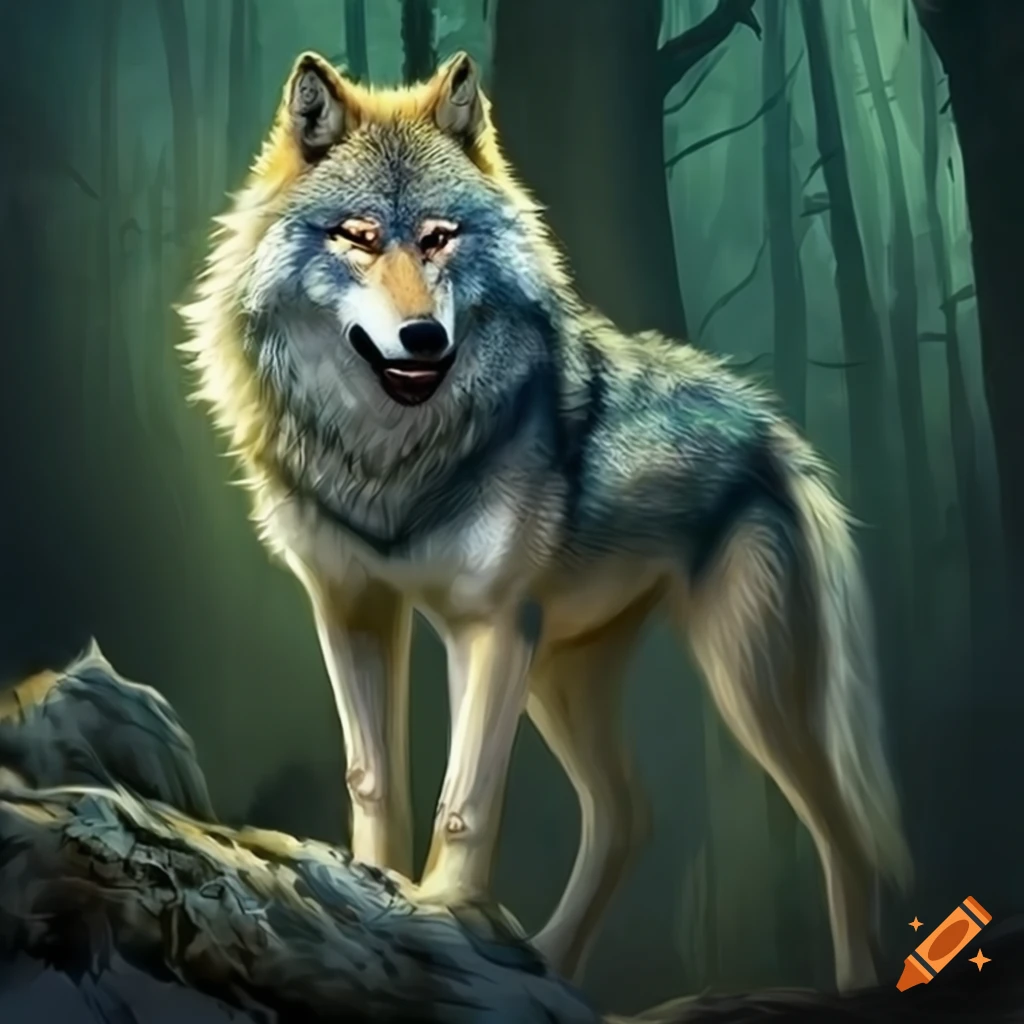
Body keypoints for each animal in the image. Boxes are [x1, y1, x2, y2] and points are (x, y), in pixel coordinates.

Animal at [179, 50, 911, 990]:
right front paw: (376, 892)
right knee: (630, 815)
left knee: (844, 832)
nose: (423, 338)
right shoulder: (352, 608)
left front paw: (442, 911)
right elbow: (373, 779)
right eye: (360, 237)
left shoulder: (488, 624)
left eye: (440, 237)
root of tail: (772, 430)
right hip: (566, 679)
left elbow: (465, 800)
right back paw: (551, 962)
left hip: (745, 684)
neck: (390, 460)